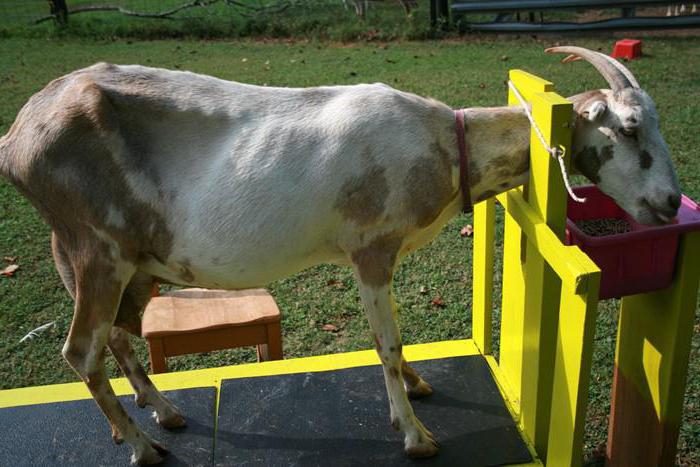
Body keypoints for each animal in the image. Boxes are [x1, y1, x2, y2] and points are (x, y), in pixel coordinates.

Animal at [0, 46, 680, 464]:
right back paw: (141, 446)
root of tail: (17, 139)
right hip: (97, 248)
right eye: (627, 129)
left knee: (118, 333)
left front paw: (419, 387)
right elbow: (388, 343)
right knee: (81, 349)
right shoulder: (371, 250)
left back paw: (164, 412)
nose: (671, 203)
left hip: (136, 261)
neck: (443, 144)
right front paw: (415, 434)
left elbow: (398, 346)